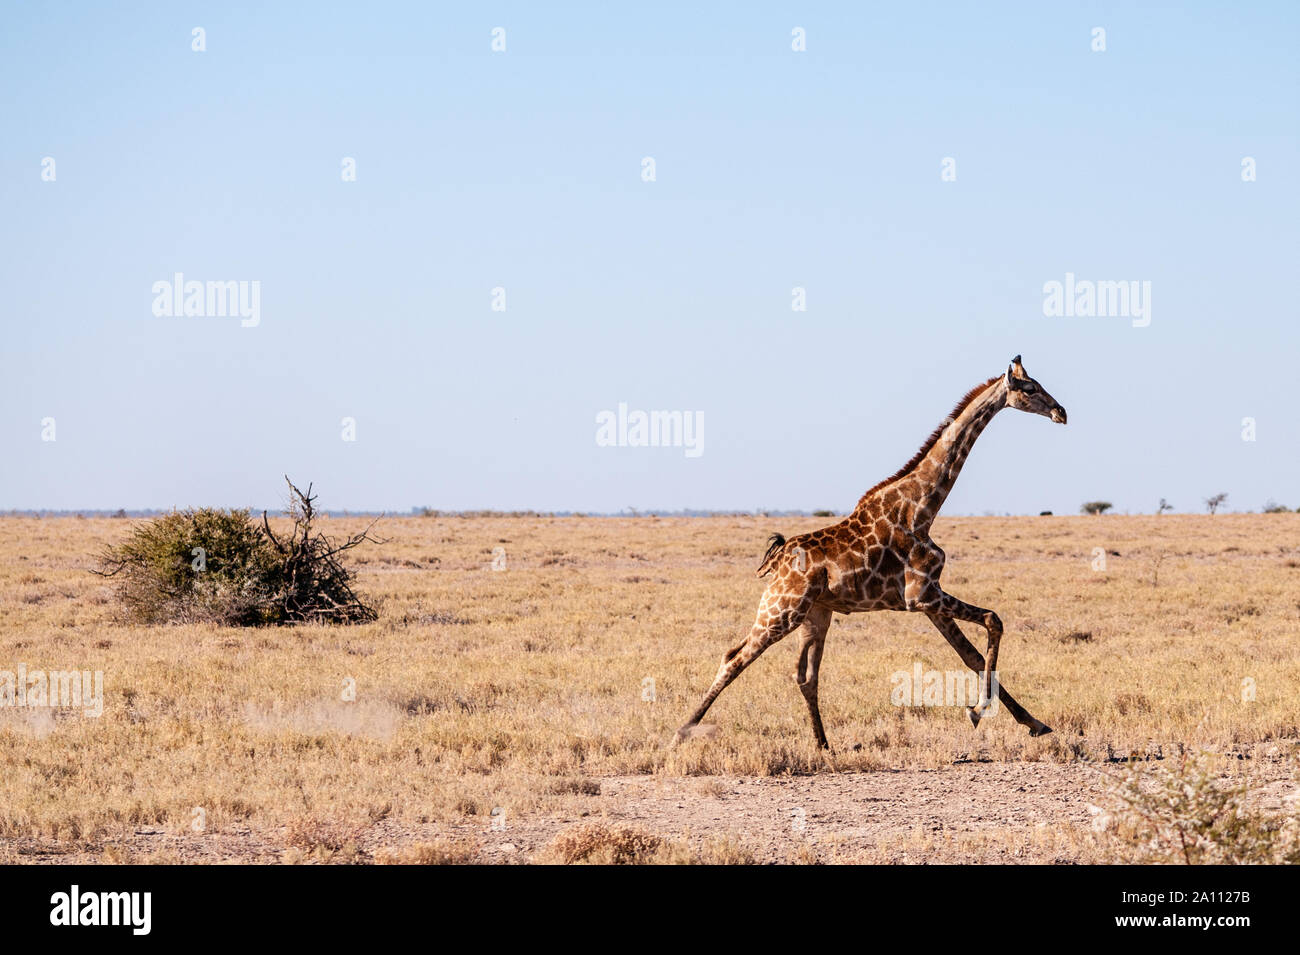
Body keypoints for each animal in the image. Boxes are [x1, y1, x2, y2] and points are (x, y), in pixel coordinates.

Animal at [672, 356, 1066, 749]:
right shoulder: (923, 596)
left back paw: (824, 745)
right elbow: (992, 621)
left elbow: (971, 654)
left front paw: (1033, 722)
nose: (1060, 412)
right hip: (782, 609)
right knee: (734, 658)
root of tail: (777, 559)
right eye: (1030, 388)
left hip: (815, 614)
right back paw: (680, 733)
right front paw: (978, 711)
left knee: (805, 675)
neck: (921, 510)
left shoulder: (929, 599)